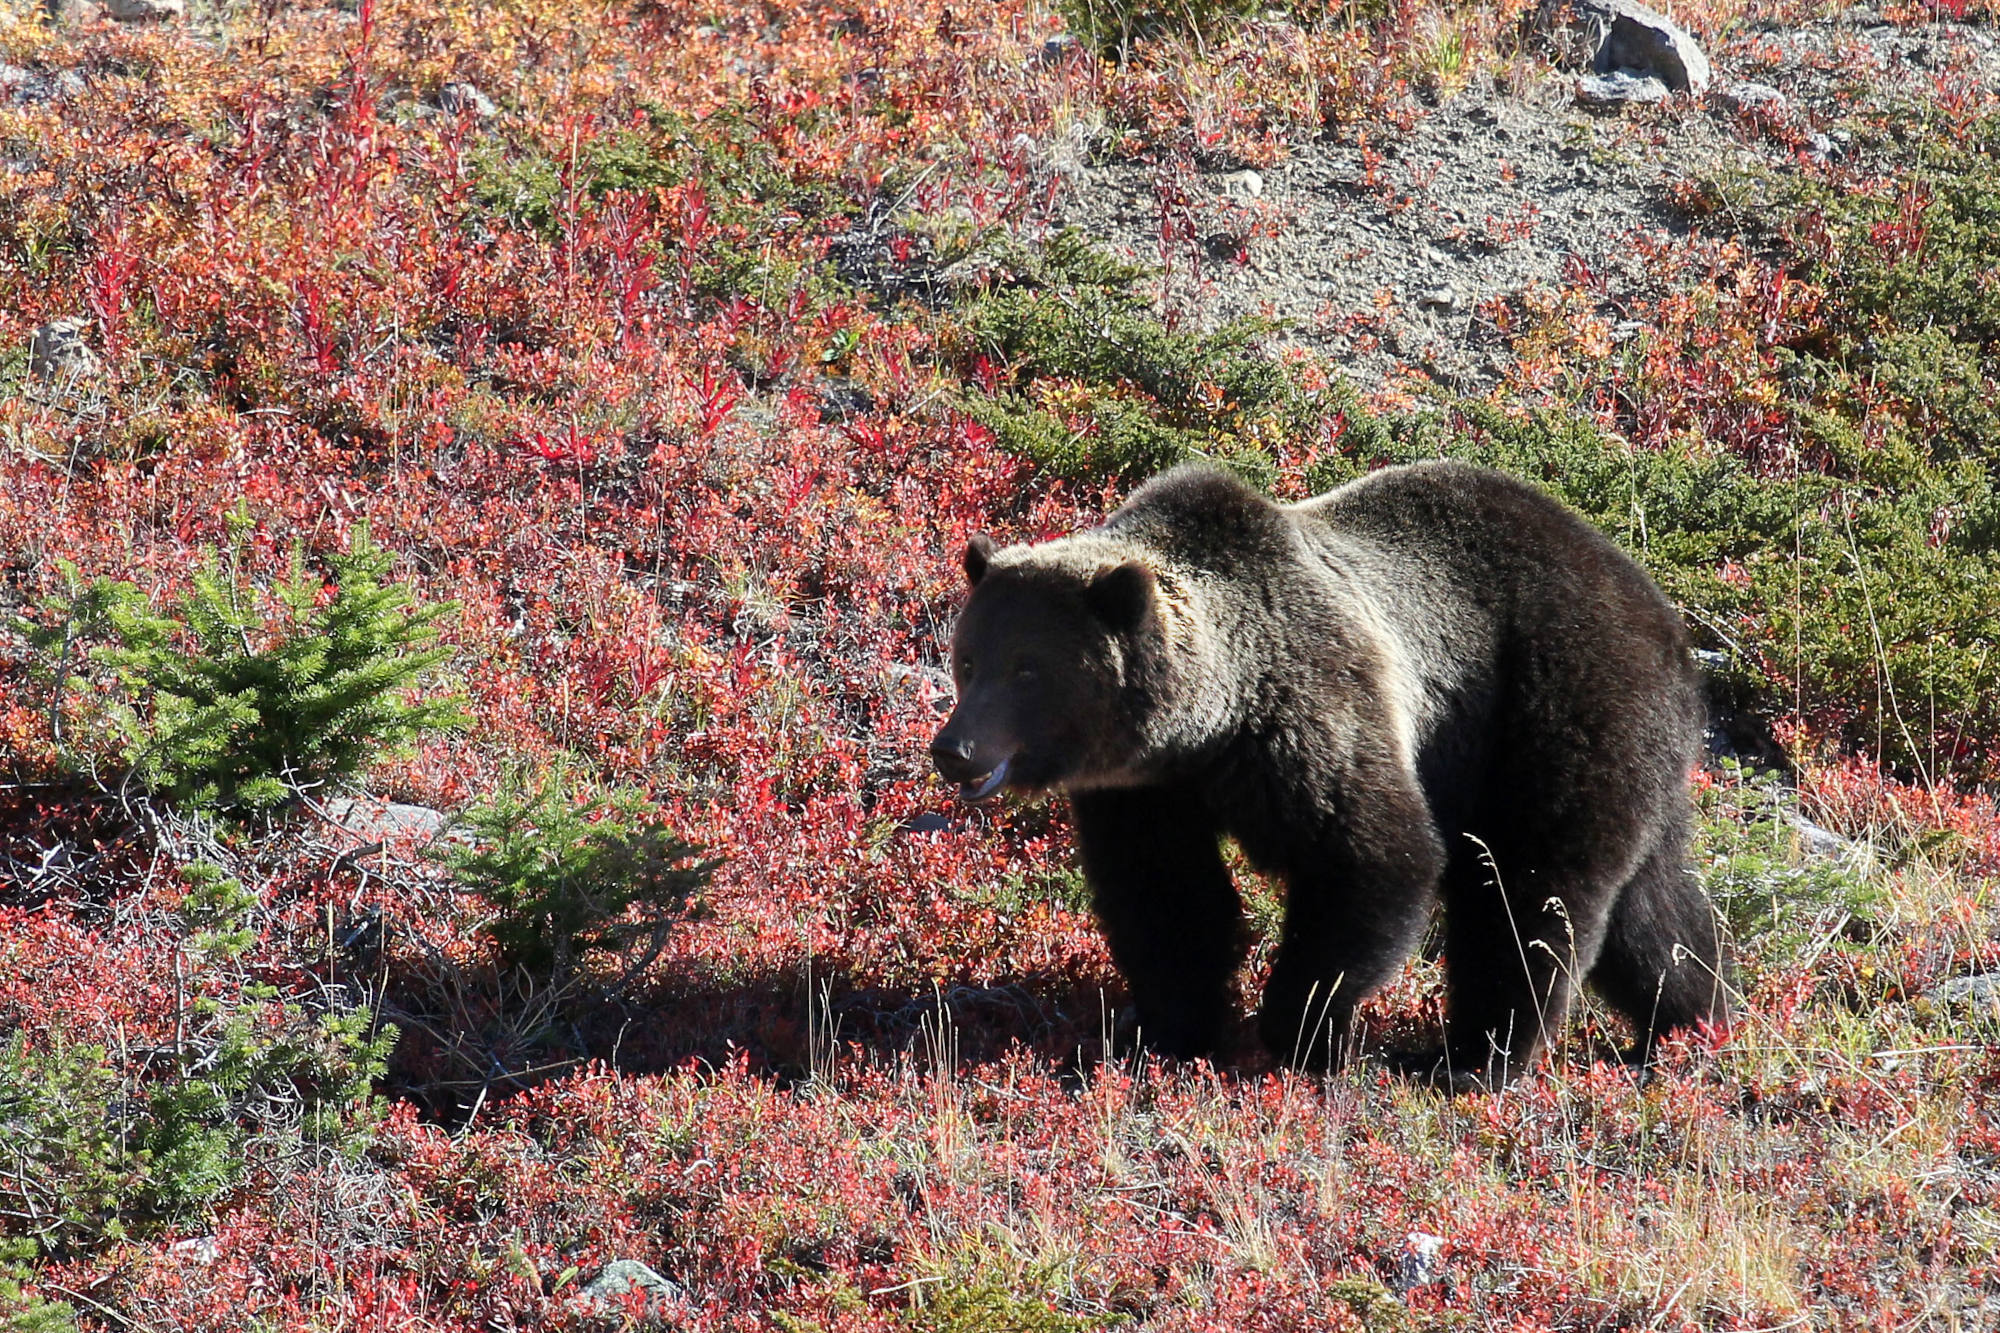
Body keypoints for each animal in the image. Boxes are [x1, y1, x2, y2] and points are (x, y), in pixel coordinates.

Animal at [928, 460, 1730, 1084]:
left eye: (1028, 670)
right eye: (968, 659)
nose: (954, 748)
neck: (1206, 726)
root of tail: (1663, 615)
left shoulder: (1308, 711)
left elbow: (1373, 857)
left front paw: (1297, 1029)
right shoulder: (1144, 789)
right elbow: (1167, 896)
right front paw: (1169, 1028)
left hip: (1553, 706)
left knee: (1529, 890)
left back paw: (1475, 1059)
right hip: (1630, 760)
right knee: (1654, 911)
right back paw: (1693, 1024)